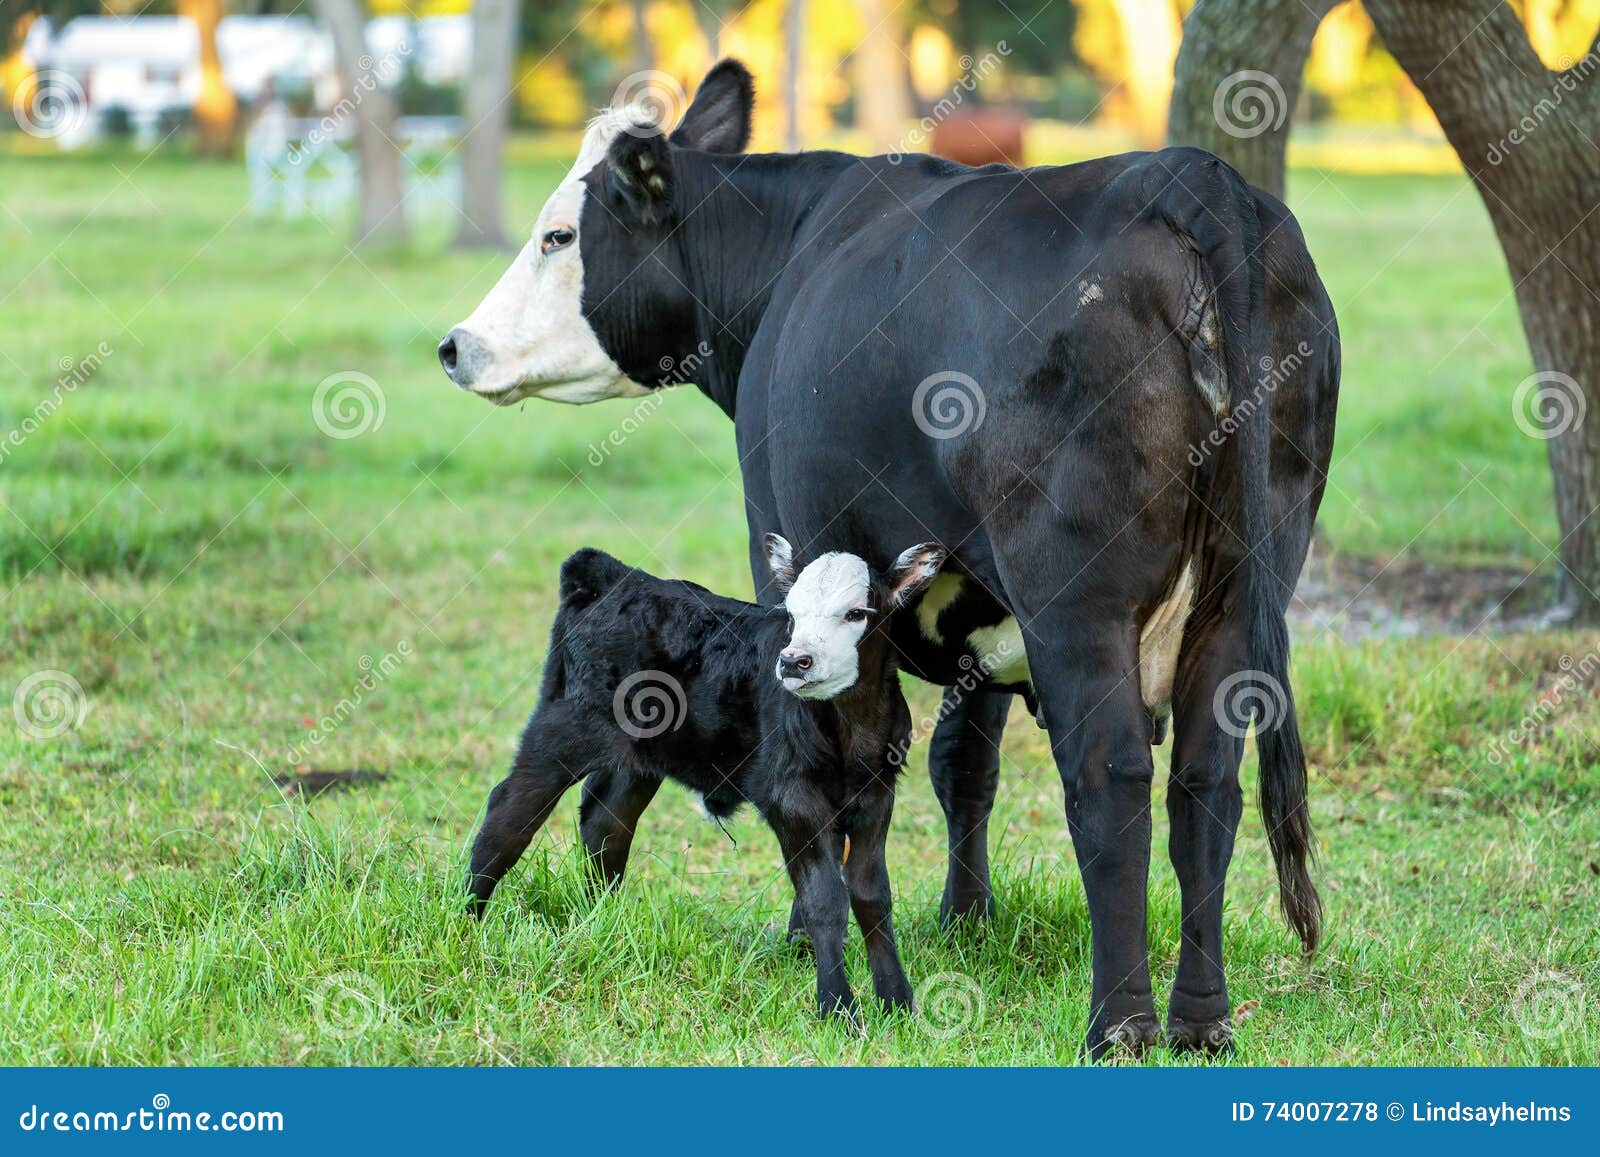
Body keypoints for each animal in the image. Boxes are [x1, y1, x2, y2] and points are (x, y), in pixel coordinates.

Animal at [466, 538, 947, 1022]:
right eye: (791, 614)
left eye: (856, 613)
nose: (794, 662)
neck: (851, 729)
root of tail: (615, 575)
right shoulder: (792, 799)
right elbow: (825, 899)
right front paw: (837, 1009)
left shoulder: (876, 796)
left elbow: (871, 896)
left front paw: (898, 1004)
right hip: (565, 726)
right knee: (509, 814)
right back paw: (469, 920)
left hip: (637, 760)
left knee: (606, 823)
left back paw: (598, 925)